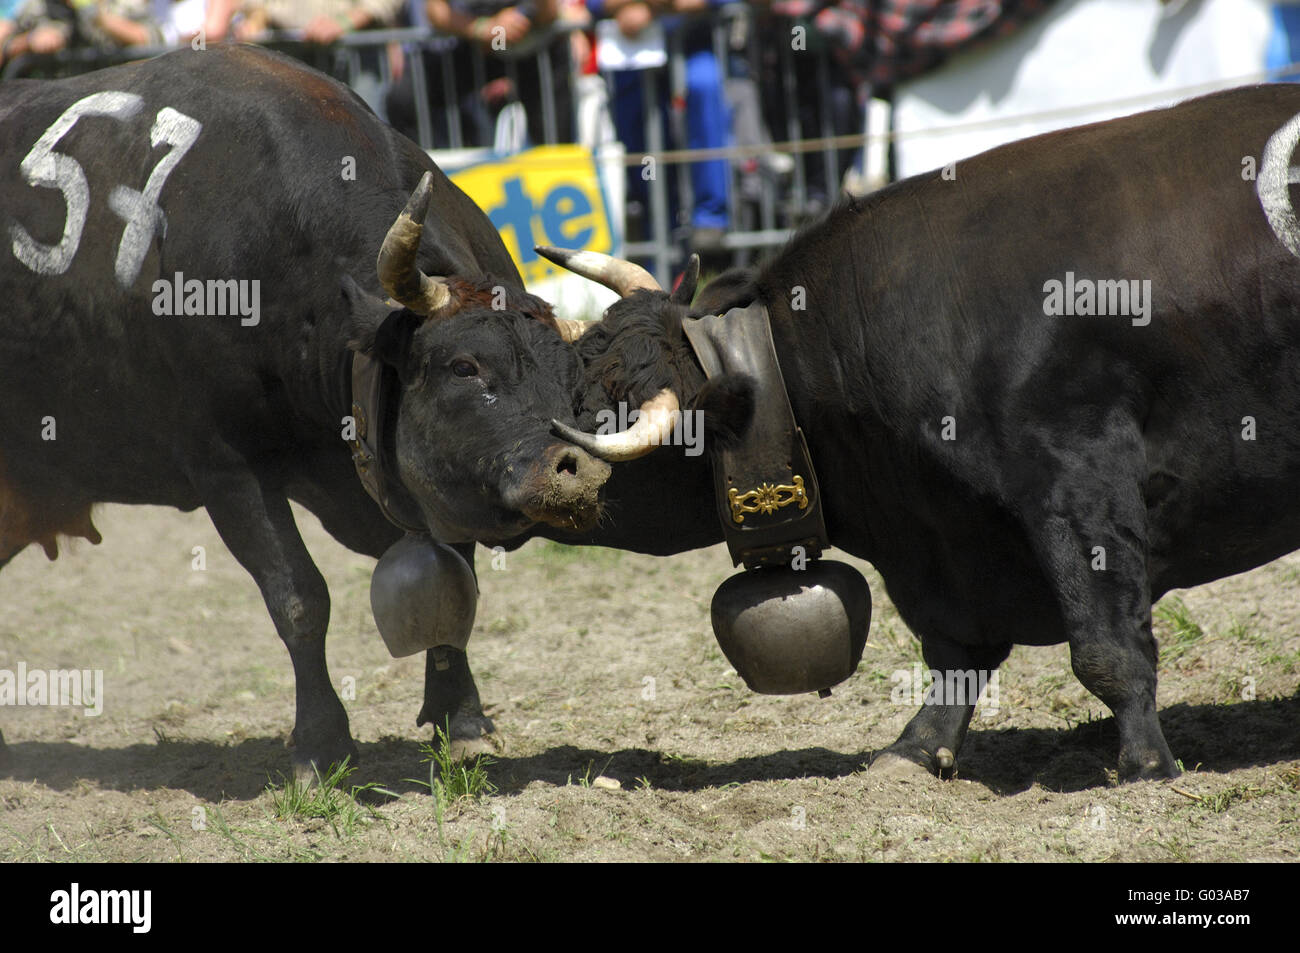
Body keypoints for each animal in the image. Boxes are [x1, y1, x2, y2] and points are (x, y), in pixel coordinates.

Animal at [0, 44, 614, 778]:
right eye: (465, 367)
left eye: (573, 378)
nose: (575, 470)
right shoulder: (228, 469)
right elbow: (299, 598)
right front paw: (320, 742)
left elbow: (454, 592)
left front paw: (461, 718)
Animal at [399, 83, 1300, 782]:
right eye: (576, 362)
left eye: (609, 401)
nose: (540, 465)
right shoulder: (948, 546)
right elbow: (958, 653)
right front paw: (912, 753)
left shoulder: (1078, 484)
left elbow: (1107, 643)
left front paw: (1146, 765)